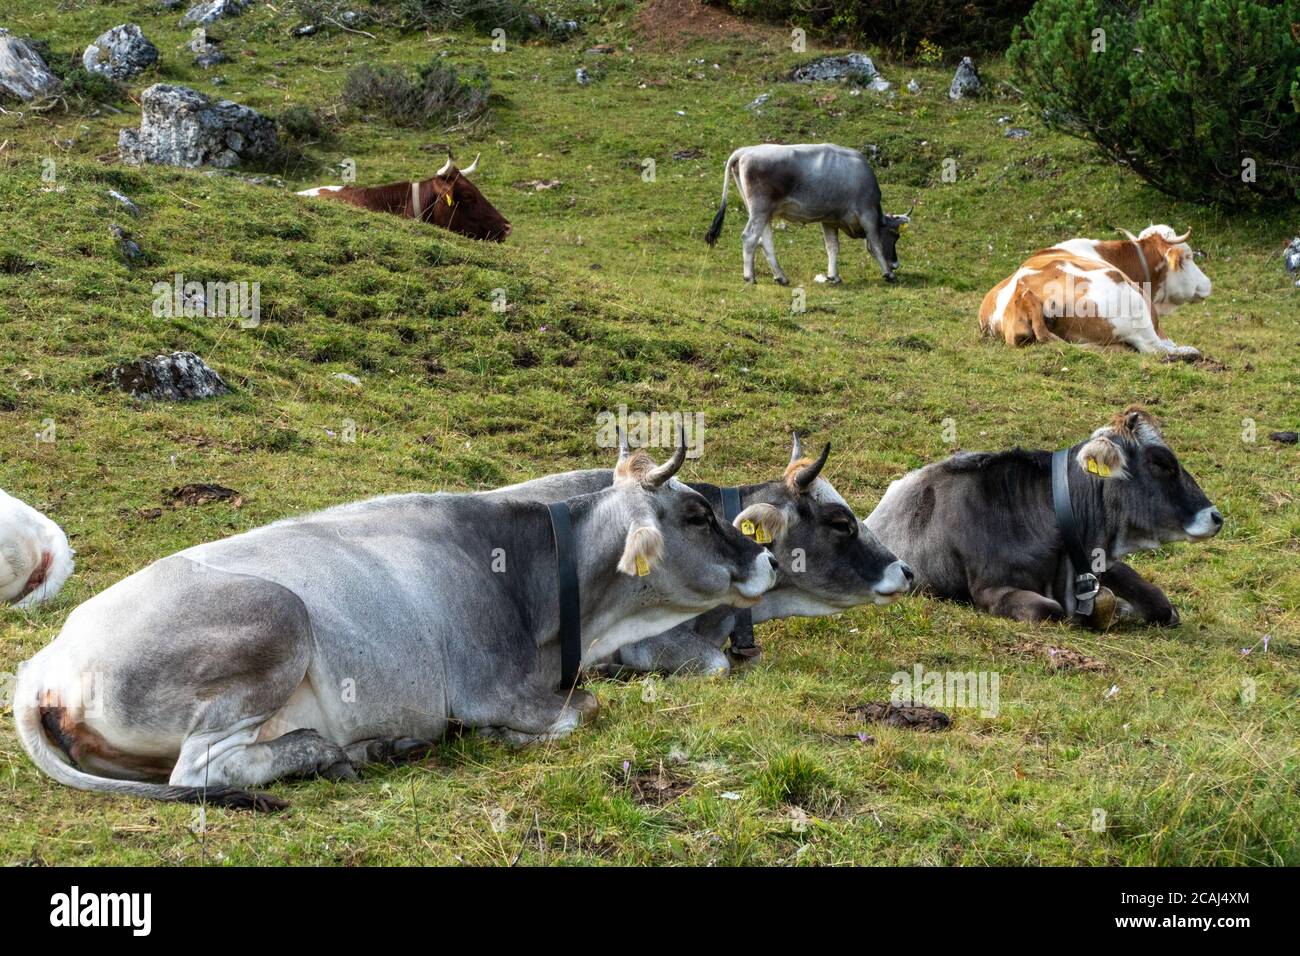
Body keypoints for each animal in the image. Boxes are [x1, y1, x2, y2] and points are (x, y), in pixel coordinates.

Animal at [15, 444, 777, 809]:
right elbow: (582, 710)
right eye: (696, 516)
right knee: (200, 769)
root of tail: (45, 663)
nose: (766, 557)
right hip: (277, 619)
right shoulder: (491, 689)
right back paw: (331, 752)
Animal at [704, 143, 912, 285]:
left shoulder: (829, 220)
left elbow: (832, 248)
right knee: (749, 237)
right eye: (895, 235)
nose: (896, 264)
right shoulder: (867, 213)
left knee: (765, 241)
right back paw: (749, 277)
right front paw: (888, 273)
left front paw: (833, 276)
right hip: (760, 210)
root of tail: (744, 151)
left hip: (763, 212)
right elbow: (875, 245)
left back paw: (781, 277)